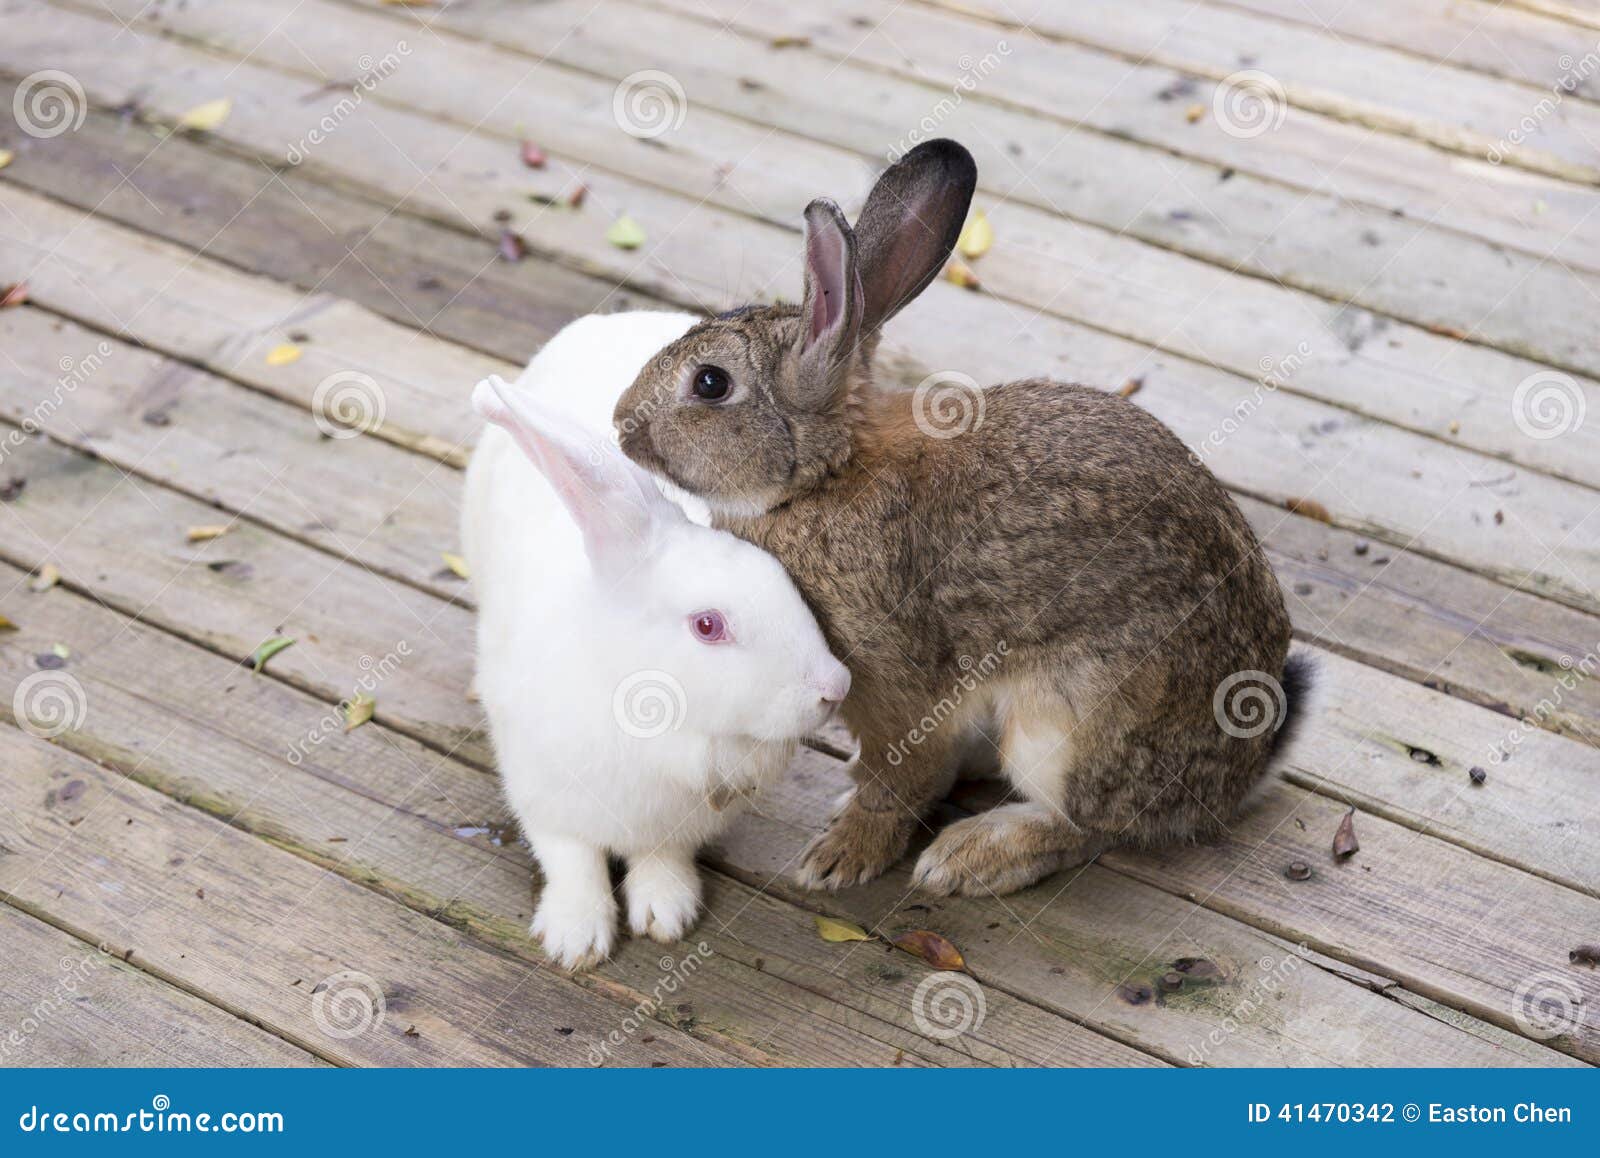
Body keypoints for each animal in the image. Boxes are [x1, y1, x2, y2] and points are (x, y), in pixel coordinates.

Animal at [461, 312, 852, 971]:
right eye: (707, 626)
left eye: (783, 580)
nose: (834, 686)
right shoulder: (545, 800)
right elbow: (571, 860)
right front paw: (576, 938)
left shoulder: (677, 824)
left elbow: (663, 857)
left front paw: (667, 912)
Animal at [613, 139, 1312, 898]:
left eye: (710, 384)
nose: (620, 423)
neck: (822, 479)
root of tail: (1238, 773)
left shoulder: (894, 680)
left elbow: (901, 775)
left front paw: (843, 855)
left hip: (1068, 719)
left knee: (1087, 826)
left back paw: (973, 856)